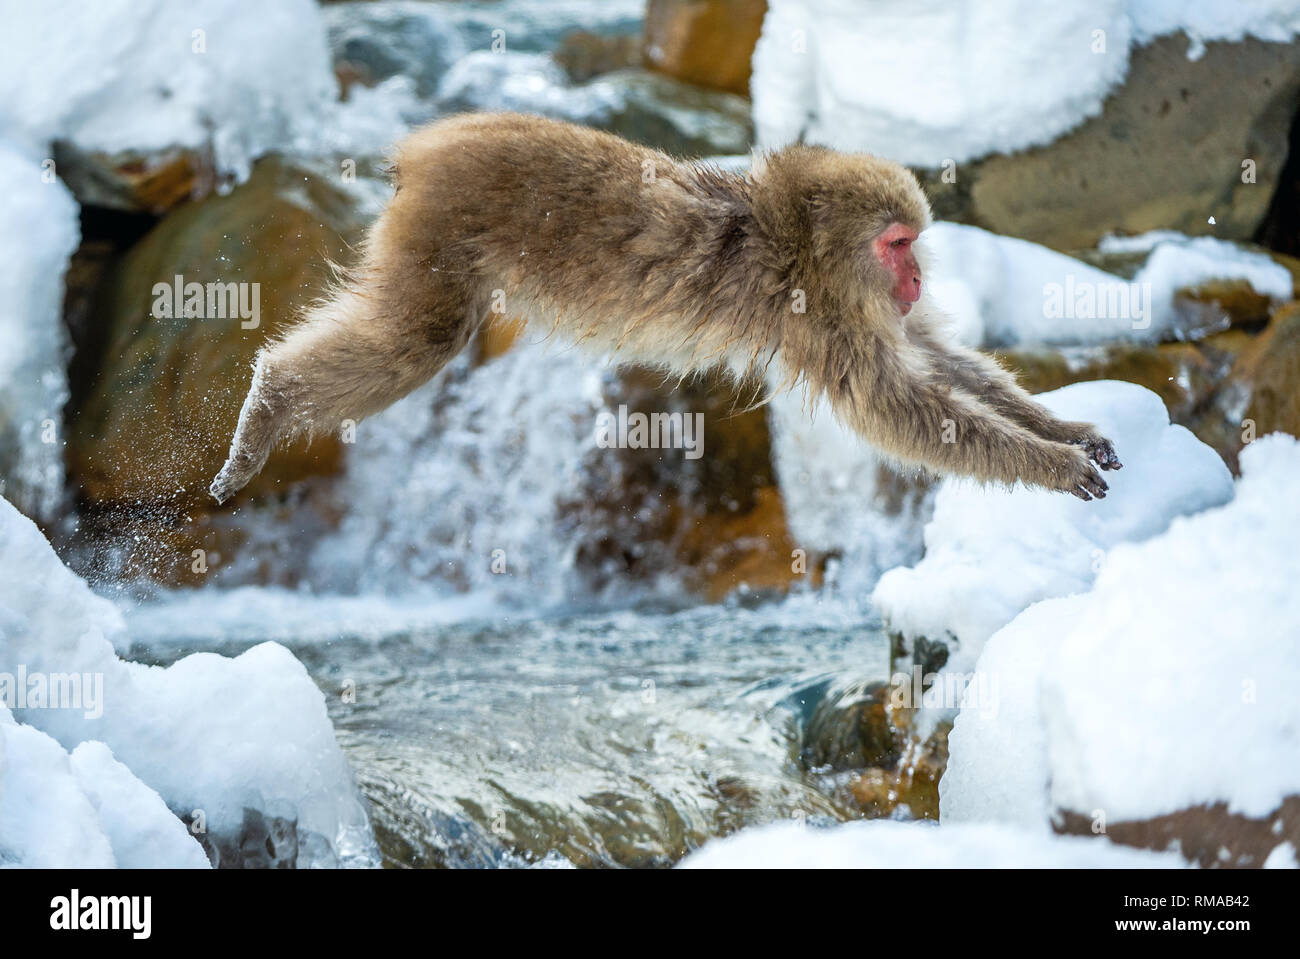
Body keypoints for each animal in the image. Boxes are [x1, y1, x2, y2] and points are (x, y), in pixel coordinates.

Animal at [210, 112, 1120, 506]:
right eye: (900, 243)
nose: (920, 279)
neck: (794, 237)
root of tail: (431, 144)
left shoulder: (861, 306)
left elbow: (935, 359)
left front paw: (1067, 430)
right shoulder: (824, 315)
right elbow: (901, 407)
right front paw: (1051, 464)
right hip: (439, 227)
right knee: (419, 337)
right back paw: (269, 405)